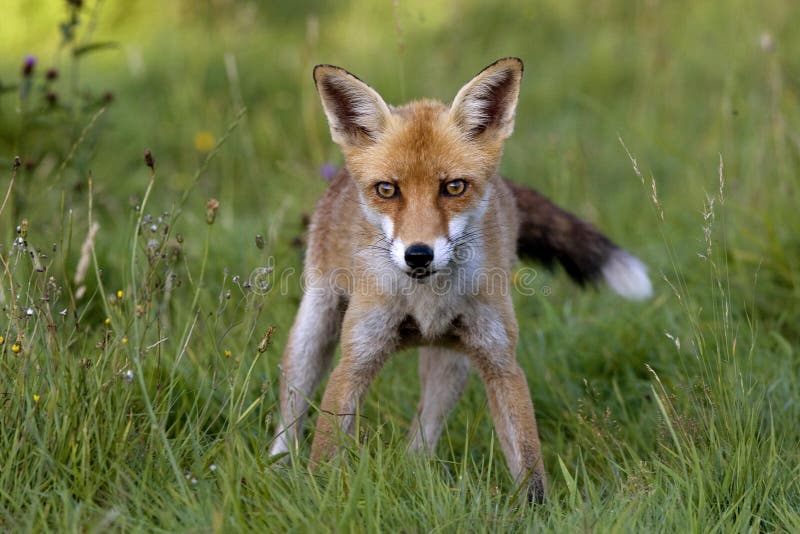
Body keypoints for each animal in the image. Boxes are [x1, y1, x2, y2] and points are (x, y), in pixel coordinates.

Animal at [270, 57, 652, 503]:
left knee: (422, 438)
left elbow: (528, 464)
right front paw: (317, 499)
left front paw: (539, 512)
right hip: (313, 332)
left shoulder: (500, 361)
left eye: (453, 187)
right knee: (291, 414)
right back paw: (276, 467)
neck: (426, 300)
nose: (418, 254)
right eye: (387, 189)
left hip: (452, 364)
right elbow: (325, 451)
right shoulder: (357, 358)